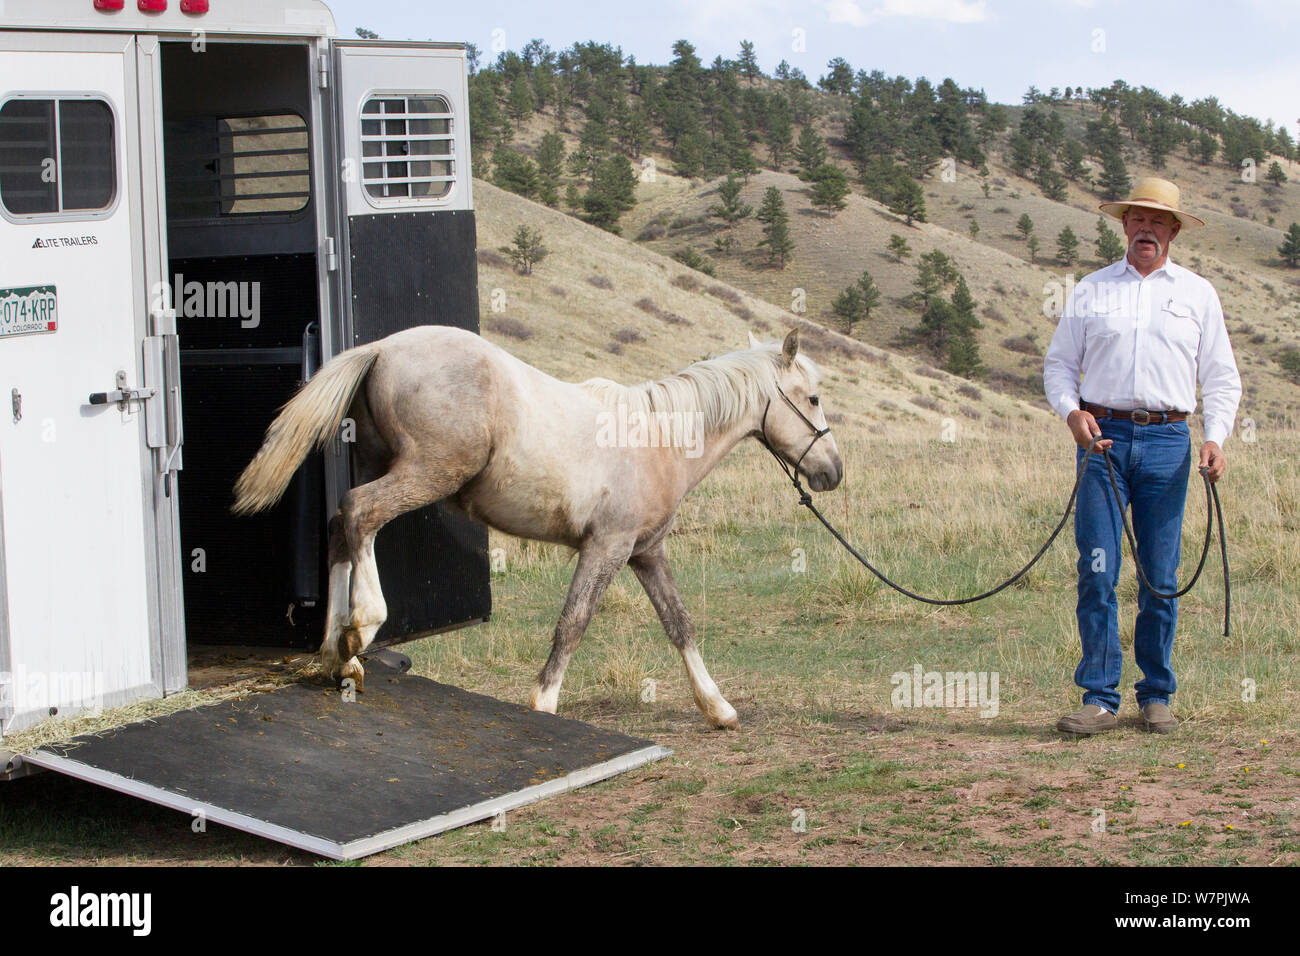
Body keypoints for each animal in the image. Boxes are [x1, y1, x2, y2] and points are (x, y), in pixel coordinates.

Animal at [232, 325, 842, 728]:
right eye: (812, 398)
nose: (832, 471)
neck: (658, 439)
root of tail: (385, 347)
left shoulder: (646, 552)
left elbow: (680, 625)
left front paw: (718, 708)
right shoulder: (606, 548)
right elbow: (572, 624)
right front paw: (543, 705)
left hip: (386, 465)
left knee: (341, 526)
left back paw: (338, 652)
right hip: (423, 473)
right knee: (359, 514)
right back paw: (361, 628)